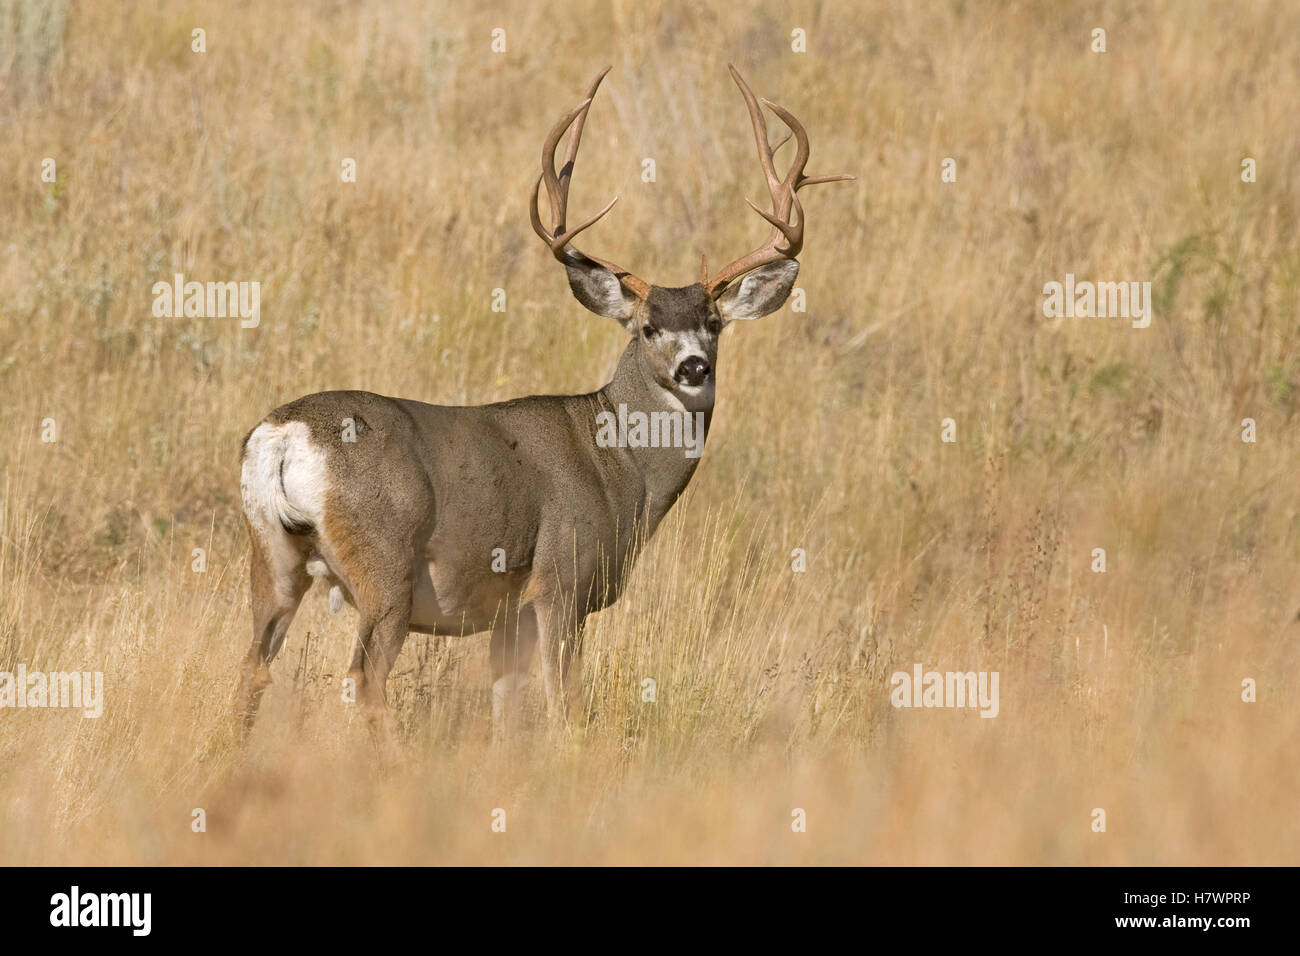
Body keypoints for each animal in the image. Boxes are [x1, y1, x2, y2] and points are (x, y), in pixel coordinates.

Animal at [235, 65, 852, 756]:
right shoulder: (561, 581)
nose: (694, 367)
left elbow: (507, 709)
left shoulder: (509, 612)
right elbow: (566, 705)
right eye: (647, 327)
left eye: (715, 324)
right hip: (384, 565)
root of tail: (284, 435)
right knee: (362, 679)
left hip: (271, 555)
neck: (621, 466)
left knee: (251, 669)